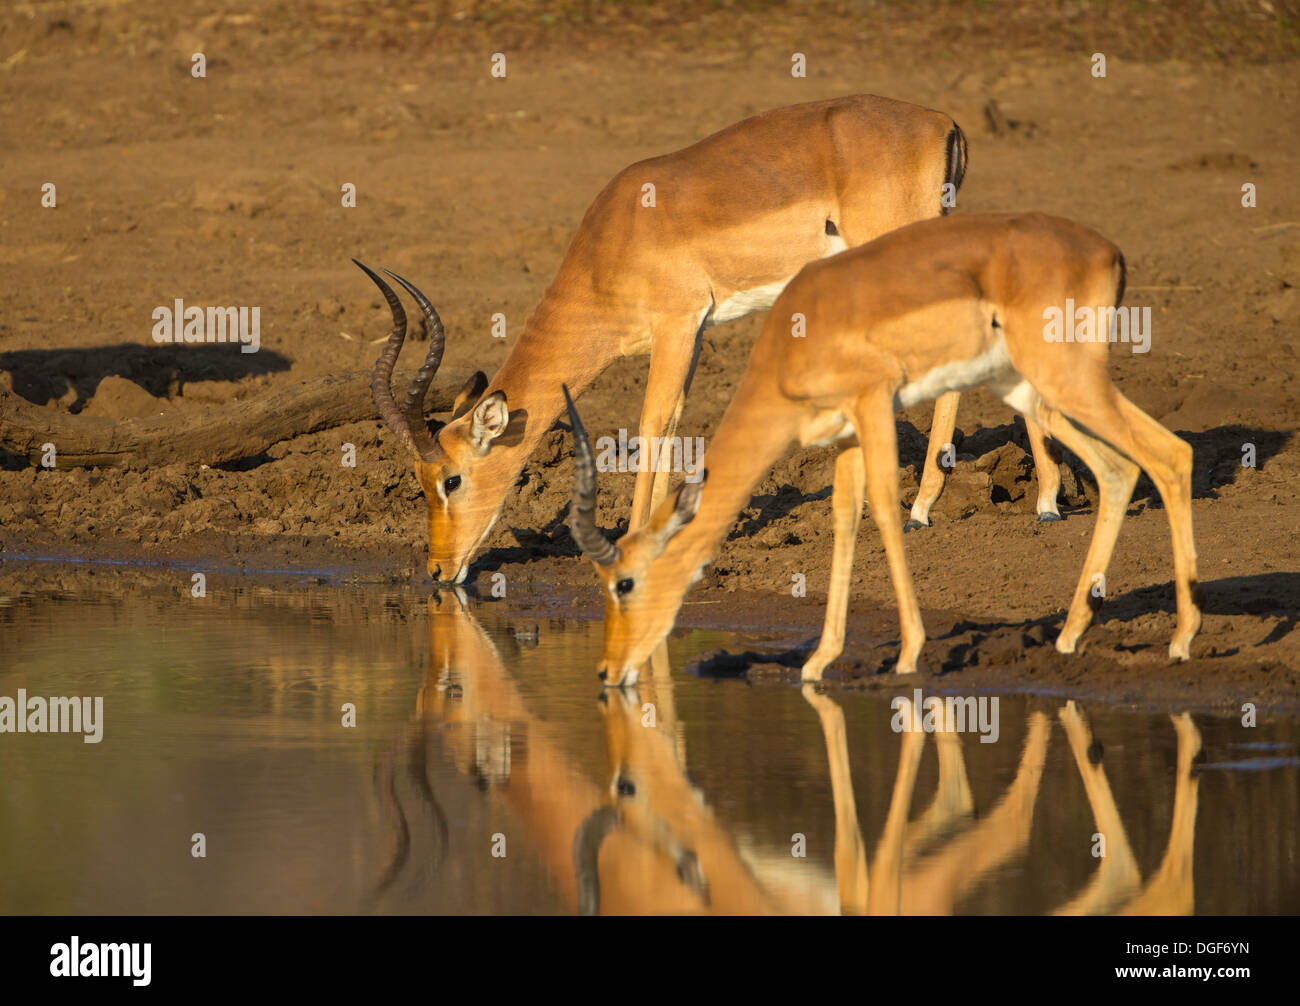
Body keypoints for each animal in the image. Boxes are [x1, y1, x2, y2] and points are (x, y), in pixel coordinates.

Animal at [354, 95, 1064, 585]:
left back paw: (1000, 504)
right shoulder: (693, 332)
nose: (437, 572)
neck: (612, 241)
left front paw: (630, 543)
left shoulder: (674, 325)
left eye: (449, 479)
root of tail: (942, 122)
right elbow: (673, 423)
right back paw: (992, 501)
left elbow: (652, 422)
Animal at [566, 211, 1202, 684]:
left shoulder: (874, 405)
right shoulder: (845, 434)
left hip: (1064, 377)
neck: (793, 341)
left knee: (1171, 455)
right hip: (1030, 388)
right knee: (1120, 470)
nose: (606, 672)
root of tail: (1107, 252)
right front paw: (820, 660)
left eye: (624, 582)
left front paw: (909, 652)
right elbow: (845, 518)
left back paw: (1181, 639)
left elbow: (886, 512)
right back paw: (1071, 636)